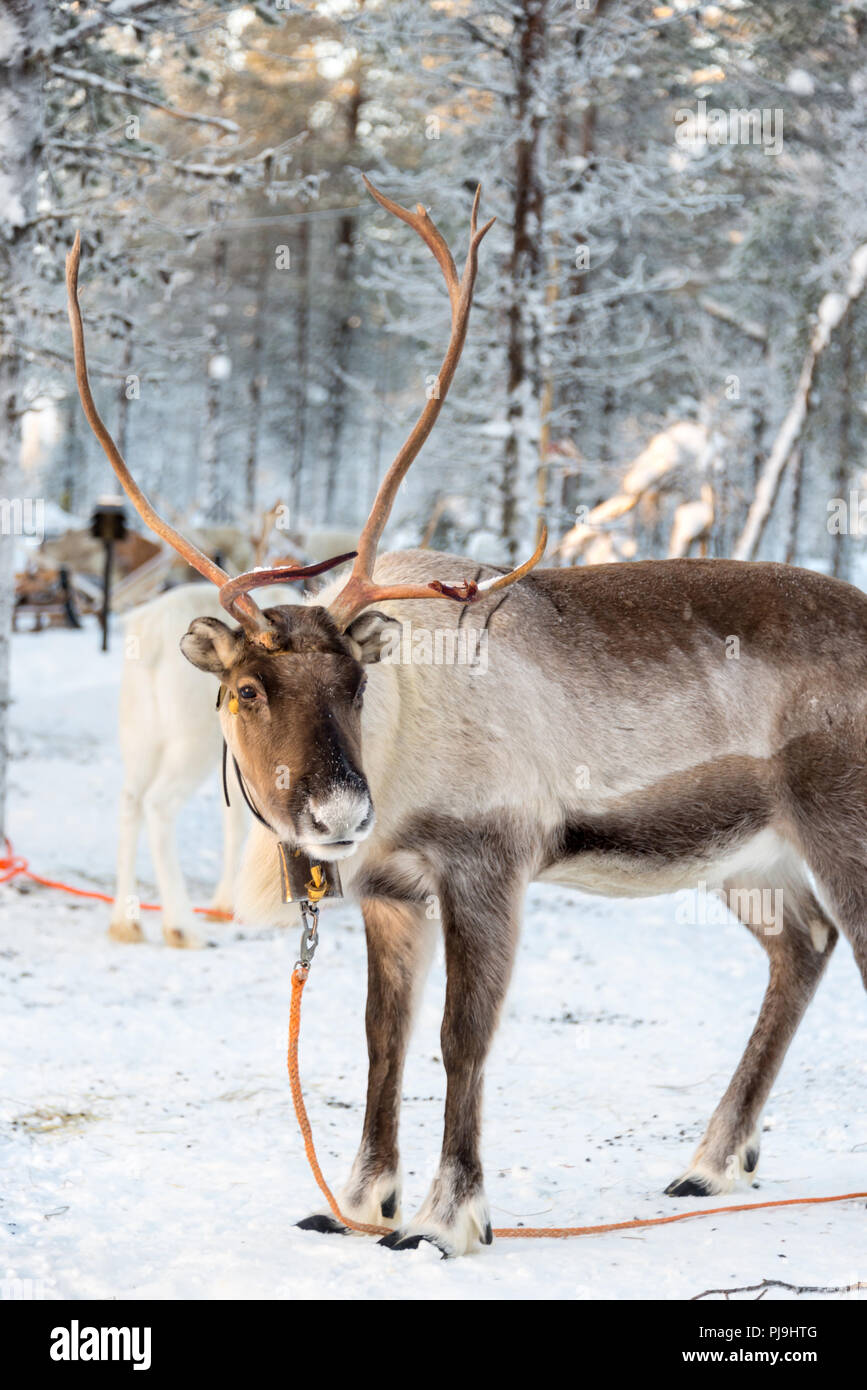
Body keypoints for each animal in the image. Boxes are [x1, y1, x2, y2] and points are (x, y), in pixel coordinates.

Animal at [67, 178, 867, 1258]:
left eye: (352, 679)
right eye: (247, 688)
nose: (337, 811)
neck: (398, 760)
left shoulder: (489, 860)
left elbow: (461, 1037)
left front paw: (449, 1219)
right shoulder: (390, 886)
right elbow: (382, 1039)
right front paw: (358, 1202)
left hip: (838, 825)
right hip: (751, 855)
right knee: (801, 948)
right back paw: (710, 1161)